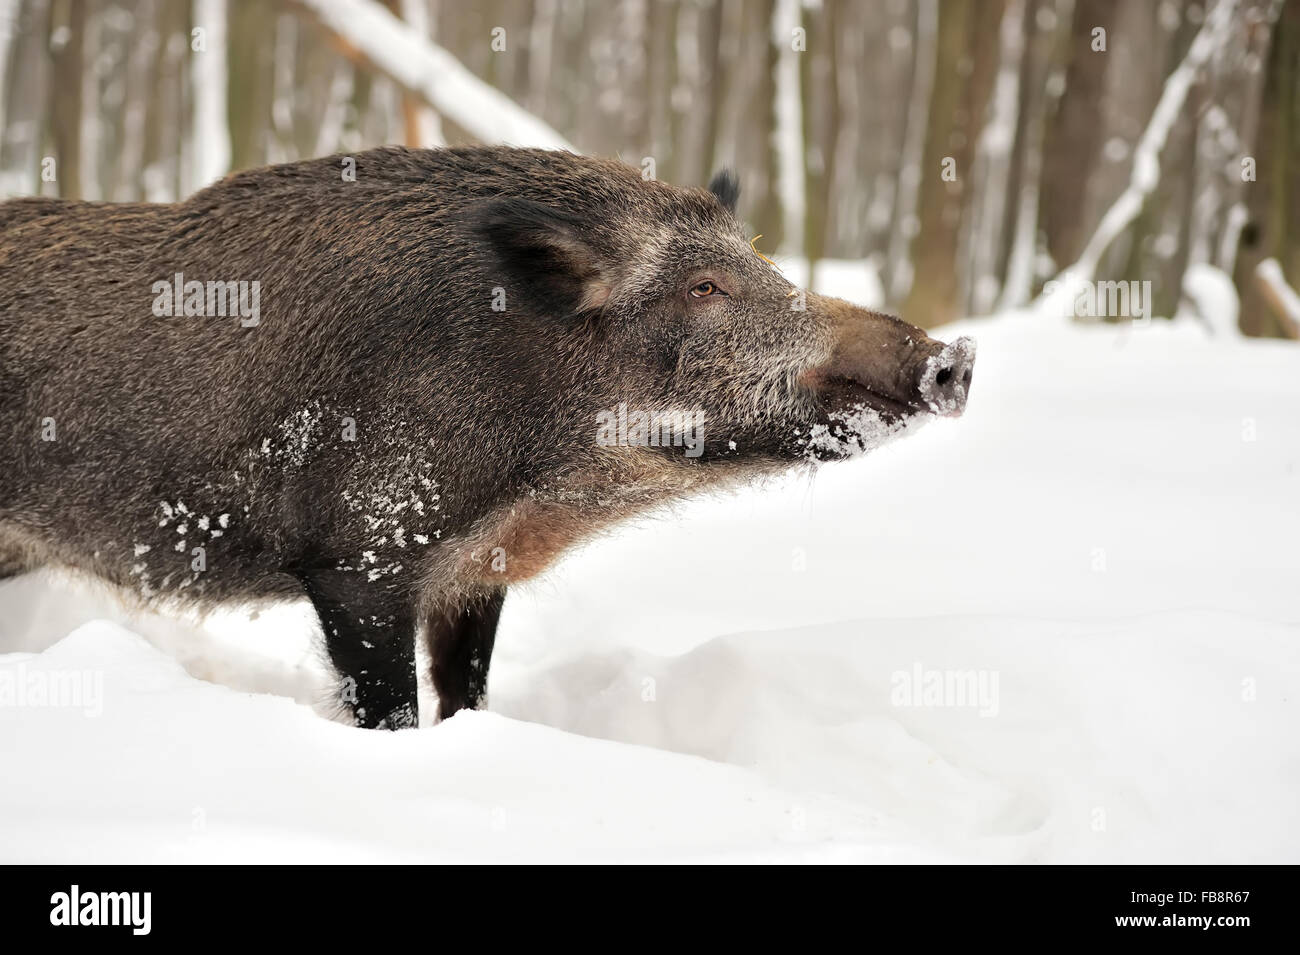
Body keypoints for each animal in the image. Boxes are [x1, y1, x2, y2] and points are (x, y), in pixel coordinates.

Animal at [0, 146, 974, 729]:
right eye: (703, 287)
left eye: (763, 260)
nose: (953, 357)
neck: (542, 488)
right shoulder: (360, 556)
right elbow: (389, 709)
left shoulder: (476, 575)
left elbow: (465, 694)